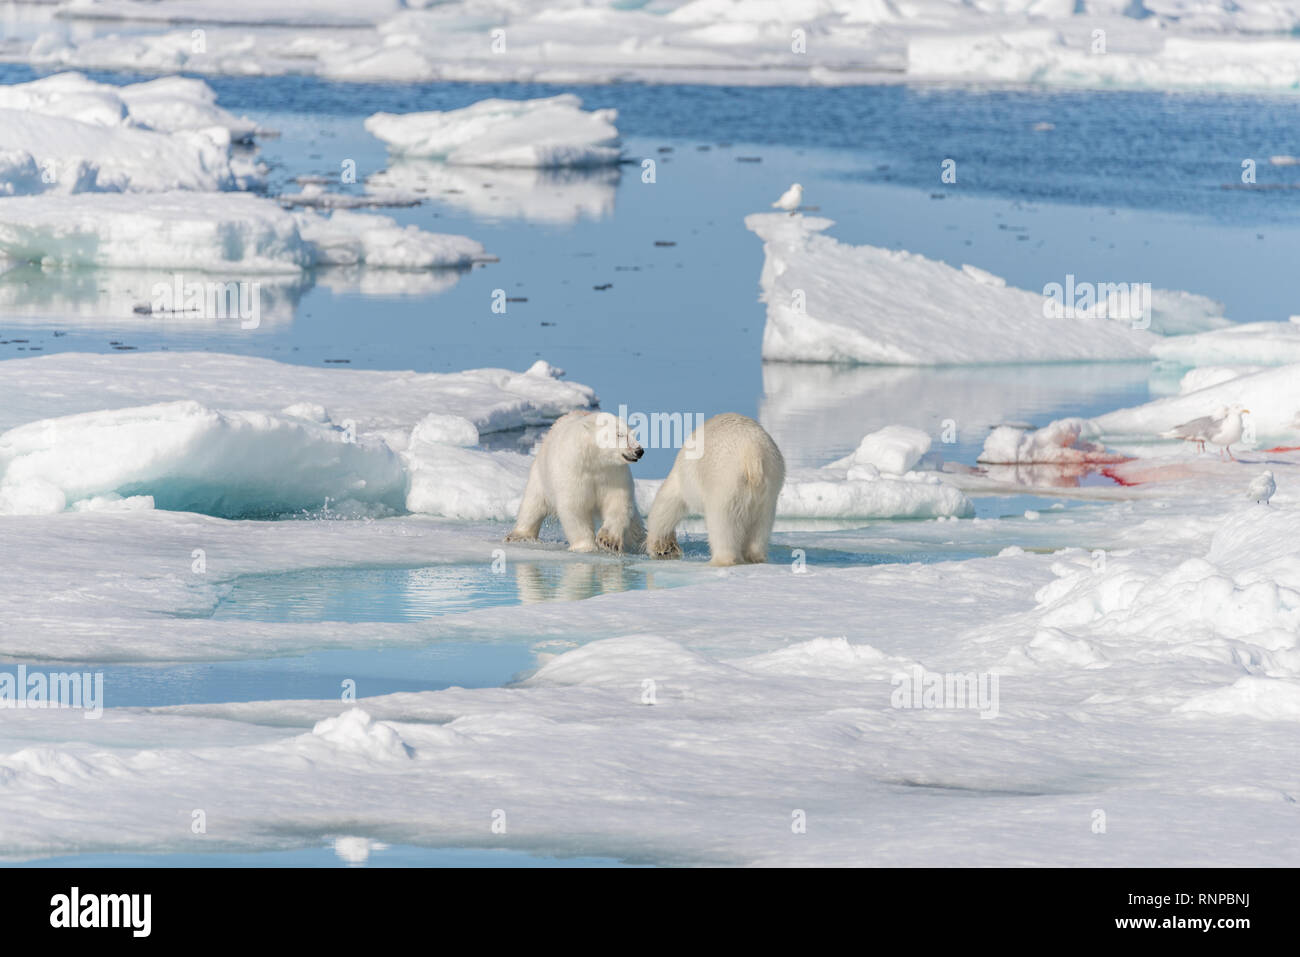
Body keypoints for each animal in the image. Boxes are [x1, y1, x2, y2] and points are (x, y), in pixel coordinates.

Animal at [505, 410, 645, 553]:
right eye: (619, 434)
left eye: (633, 434)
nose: (639, 451)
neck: (594, 461)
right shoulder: (573, 471)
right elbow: (575, 508)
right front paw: (586, 547)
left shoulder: (614, 474)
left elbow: (617, 502)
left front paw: (608, 541)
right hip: (540, 475)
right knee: (532, 503)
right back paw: (519, 535)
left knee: (635, 524)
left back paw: (639, 542)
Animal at [646, 413, 784, 566]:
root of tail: (753, 455)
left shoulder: (684, 477)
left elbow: (667, 504)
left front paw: (660, 547)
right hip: (768, 490)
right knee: (761, 527)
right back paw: (755, 557)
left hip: (724, 484)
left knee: (721, 524)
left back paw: (719, 560)